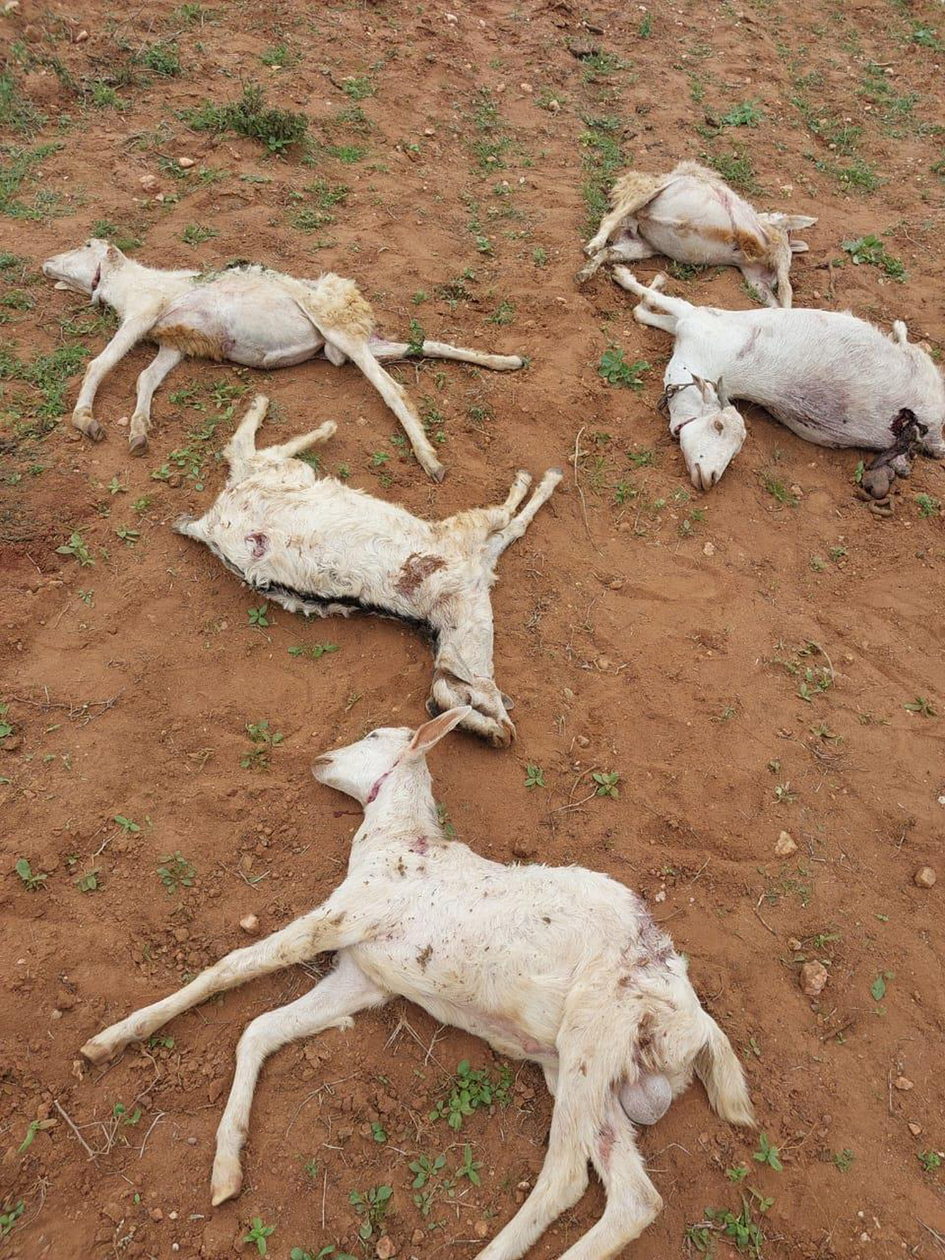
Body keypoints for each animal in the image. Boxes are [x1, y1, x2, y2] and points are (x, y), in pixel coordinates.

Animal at [41, 239, 526, 481]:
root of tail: (358, 310)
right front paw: (139, 432)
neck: (126, 285)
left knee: (394, 389)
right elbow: (145, 377)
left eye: (87, 244)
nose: (45, 263)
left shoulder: (143, 315)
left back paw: (430, 460)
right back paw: (508, 362)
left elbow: (102, 362)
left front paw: (86, 420)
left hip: (337, 329)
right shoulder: (172, 344)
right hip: (352, 344)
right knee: (424, 346)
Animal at [80, 706, 754, 1259]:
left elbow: (233, 965)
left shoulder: (346, 913)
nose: (321, 757)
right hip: (586, 1066)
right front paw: (226, 1168)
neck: (398, 838)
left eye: (376, 736)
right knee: (635, 1198)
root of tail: (694, 1023)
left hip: (596, 1029)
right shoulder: (364, 974)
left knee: (565, 1176)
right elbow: (260, 1029)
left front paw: (110, 1039)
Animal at [173, 394, 561, 745]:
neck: (449, 607)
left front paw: (537, 480)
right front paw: (538, 479)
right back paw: (305, 421)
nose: (503, 739)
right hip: (278, 479)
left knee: (244, 456)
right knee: (250, 452)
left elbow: (511, 528)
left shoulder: (478, 555)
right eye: (468, 707)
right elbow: (506, 516)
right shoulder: (461, 534)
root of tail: (208, 527)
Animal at [578, 160, 816, 308]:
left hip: (642, 245)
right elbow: (785, 288)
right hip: (648, 192)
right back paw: (593, 245)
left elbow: (775, 297)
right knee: (610, 219)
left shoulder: (757, 278)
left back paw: (586, 272)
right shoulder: (755, 235)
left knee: (609, 252)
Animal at [615, 270, 945, 492]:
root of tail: (930, 432)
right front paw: (630, 276)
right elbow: (645, 311)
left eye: (736, 449)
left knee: (916, 349)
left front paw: (624, 274)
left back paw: (899, 327)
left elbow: (651, 302)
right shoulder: (692, 324)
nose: (709, 478)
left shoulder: (699, 318)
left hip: (921, 368)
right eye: (718, 425)